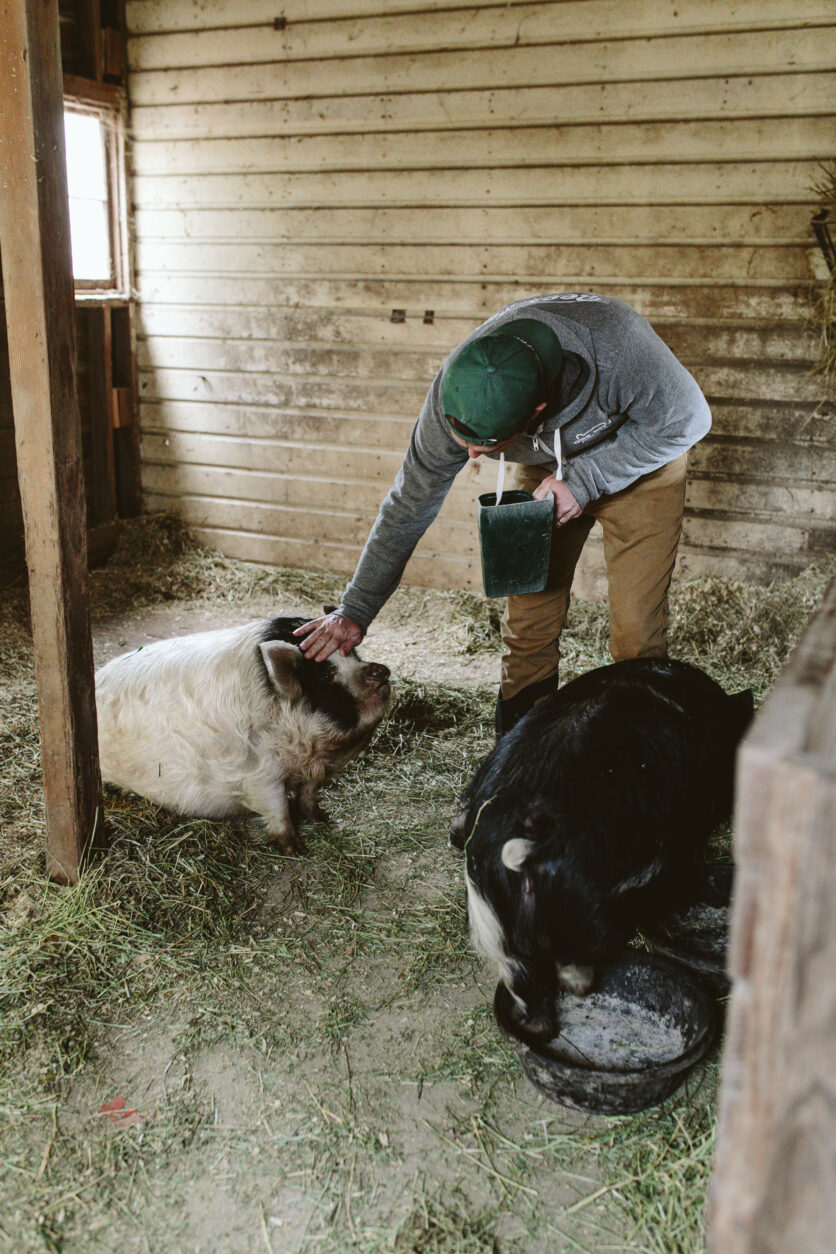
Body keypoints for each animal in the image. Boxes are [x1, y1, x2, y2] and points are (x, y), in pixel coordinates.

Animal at [95, 615, 391, 853]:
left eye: (355, 656)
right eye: (328, 674)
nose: (380, 669)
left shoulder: (309, 773)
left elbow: (308, 795)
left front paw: (324, 821)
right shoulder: (259, 776)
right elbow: (279, 810)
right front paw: (297, 850)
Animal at [454, 658, 753, 1035]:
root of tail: (526, 844)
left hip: (501, 937)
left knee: (526, 984)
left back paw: (539, 1027)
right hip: (585, 911)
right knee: (574, 964)